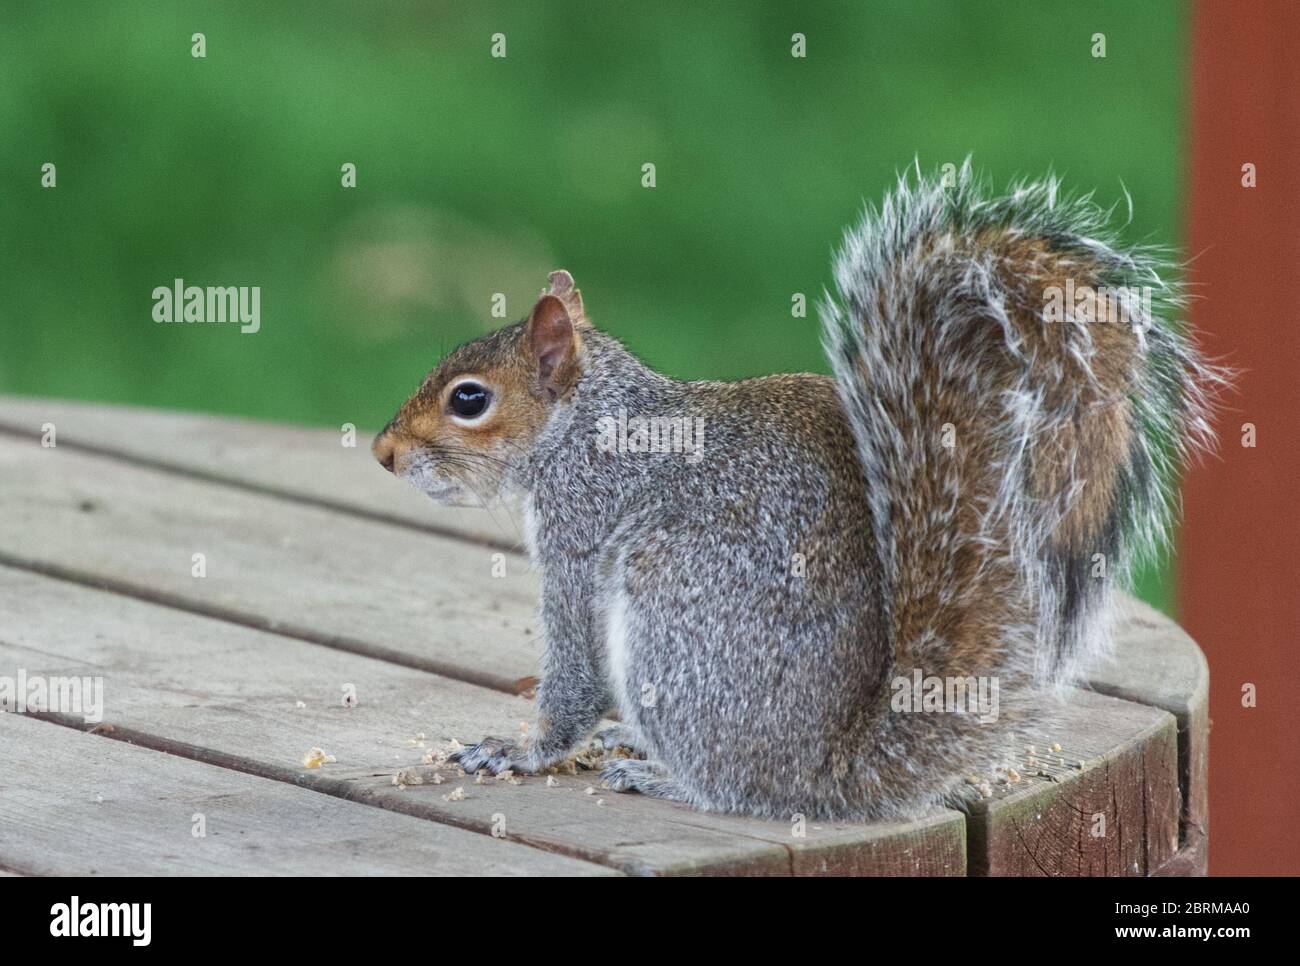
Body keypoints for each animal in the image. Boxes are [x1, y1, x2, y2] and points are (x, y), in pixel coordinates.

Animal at [372, 164, 1220, 820]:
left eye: (470, 400)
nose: (383, 452)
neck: (592, 424)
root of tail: (829, 769)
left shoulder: (581, 531)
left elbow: (573, 669)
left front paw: (521, 750)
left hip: (670, 618)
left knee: (737, 790)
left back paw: (661, 774)